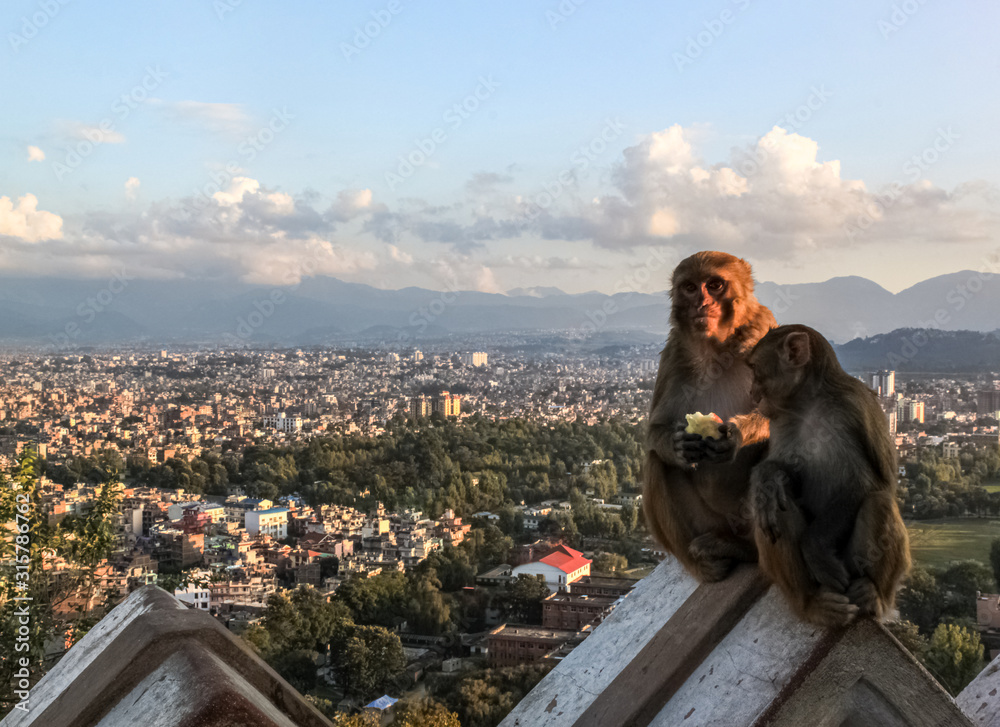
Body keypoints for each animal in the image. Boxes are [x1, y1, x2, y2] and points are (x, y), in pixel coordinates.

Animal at [643, 251, 777, 582]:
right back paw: (707, 562)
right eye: (690, 288)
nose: (702, 304)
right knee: (657, 461)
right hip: (709, 522)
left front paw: (735, 437)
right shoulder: (673, 356)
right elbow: (656, 429)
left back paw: (748, 552)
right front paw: (678, 445)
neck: (715, 349)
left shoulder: (767, 334)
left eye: (714, 285)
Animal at [746, 324, 910, 626]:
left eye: (754, 369)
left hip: (851, 565)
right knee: (774, 509)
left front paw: (815, 547)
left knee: (878, 502)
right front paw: (767, 477)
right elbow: (785, 475)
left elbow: (866, 482)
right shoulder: (779, 421)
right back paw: (809, 603)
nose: (751, 393)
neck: (807, 404)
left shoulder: (850, 406)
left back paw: (875, 596)